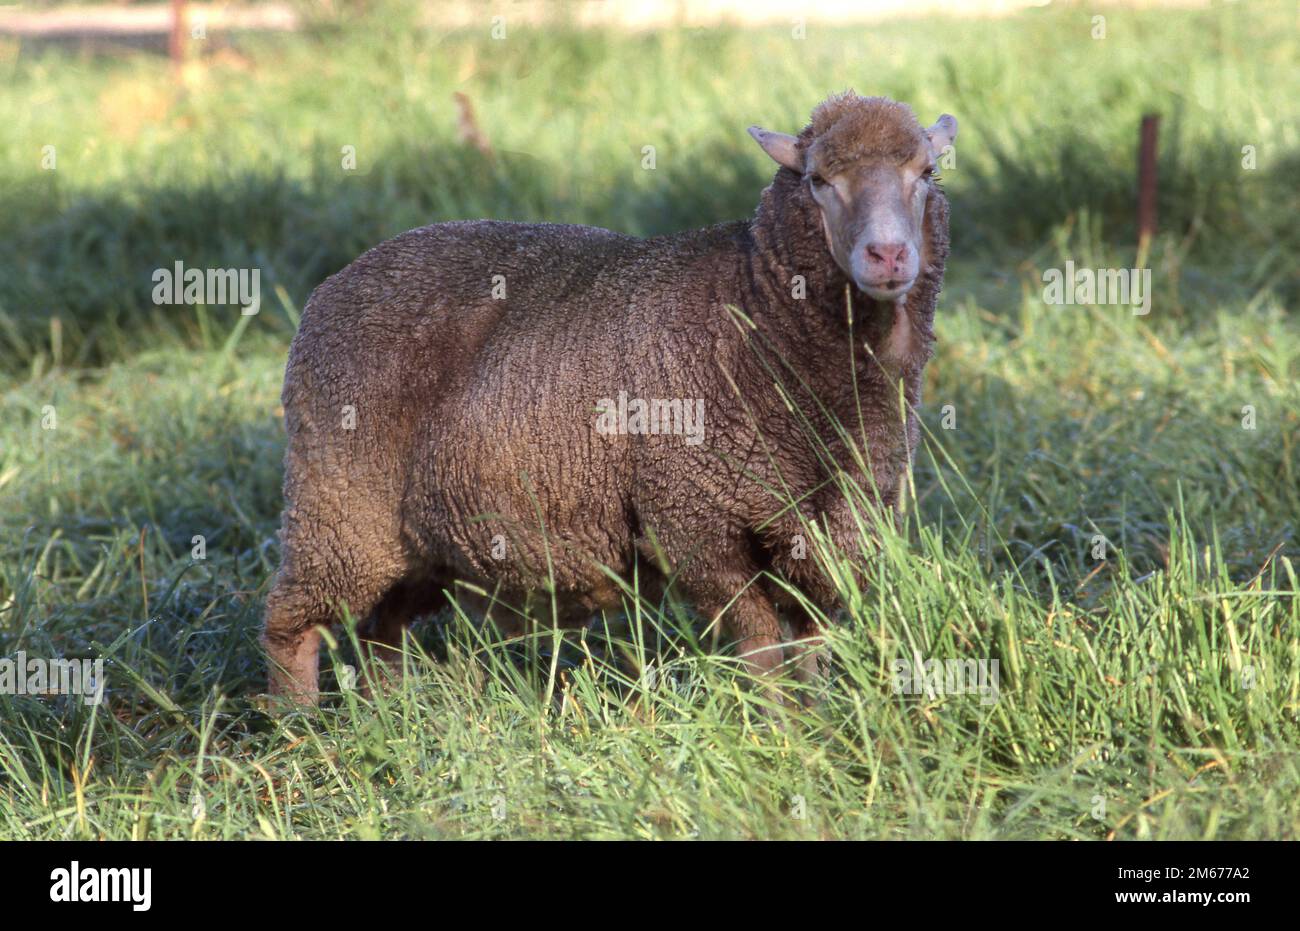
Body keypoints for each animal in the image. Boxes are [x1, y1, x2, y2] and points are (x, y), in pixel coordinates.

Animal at [263, 92, 957, 704]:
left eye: (926, 173)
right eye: (818, 180)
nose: (888, 254)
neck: (753, 311)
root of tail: (334, 283)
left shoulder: (835, 528)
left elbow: (810, 647)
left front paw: (817, 722)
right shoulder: (694, 522)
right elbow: (761, 648)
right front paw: (778, 726)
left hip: (422, 537)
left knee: (382, 630)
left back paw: (391, 715)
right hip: (341, 508)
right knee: (291, 622)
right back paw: (299, 727)